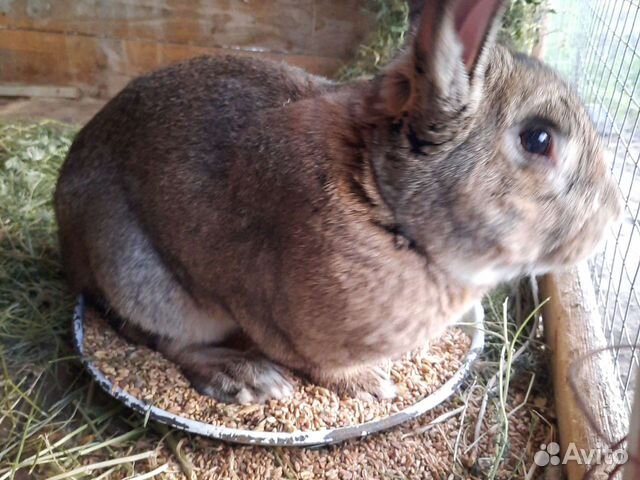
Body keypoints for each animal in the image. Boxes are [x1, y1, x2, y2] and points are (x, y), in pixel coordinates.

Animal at [55, 0, 622, 404]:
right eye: (539, 139)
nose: (613, 218)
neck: (385, 201)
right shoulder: (272, 317)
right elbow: (317, 363)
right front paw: (372, 385)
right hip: (146, 279)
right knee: (161, 339)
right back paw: (247, 377)